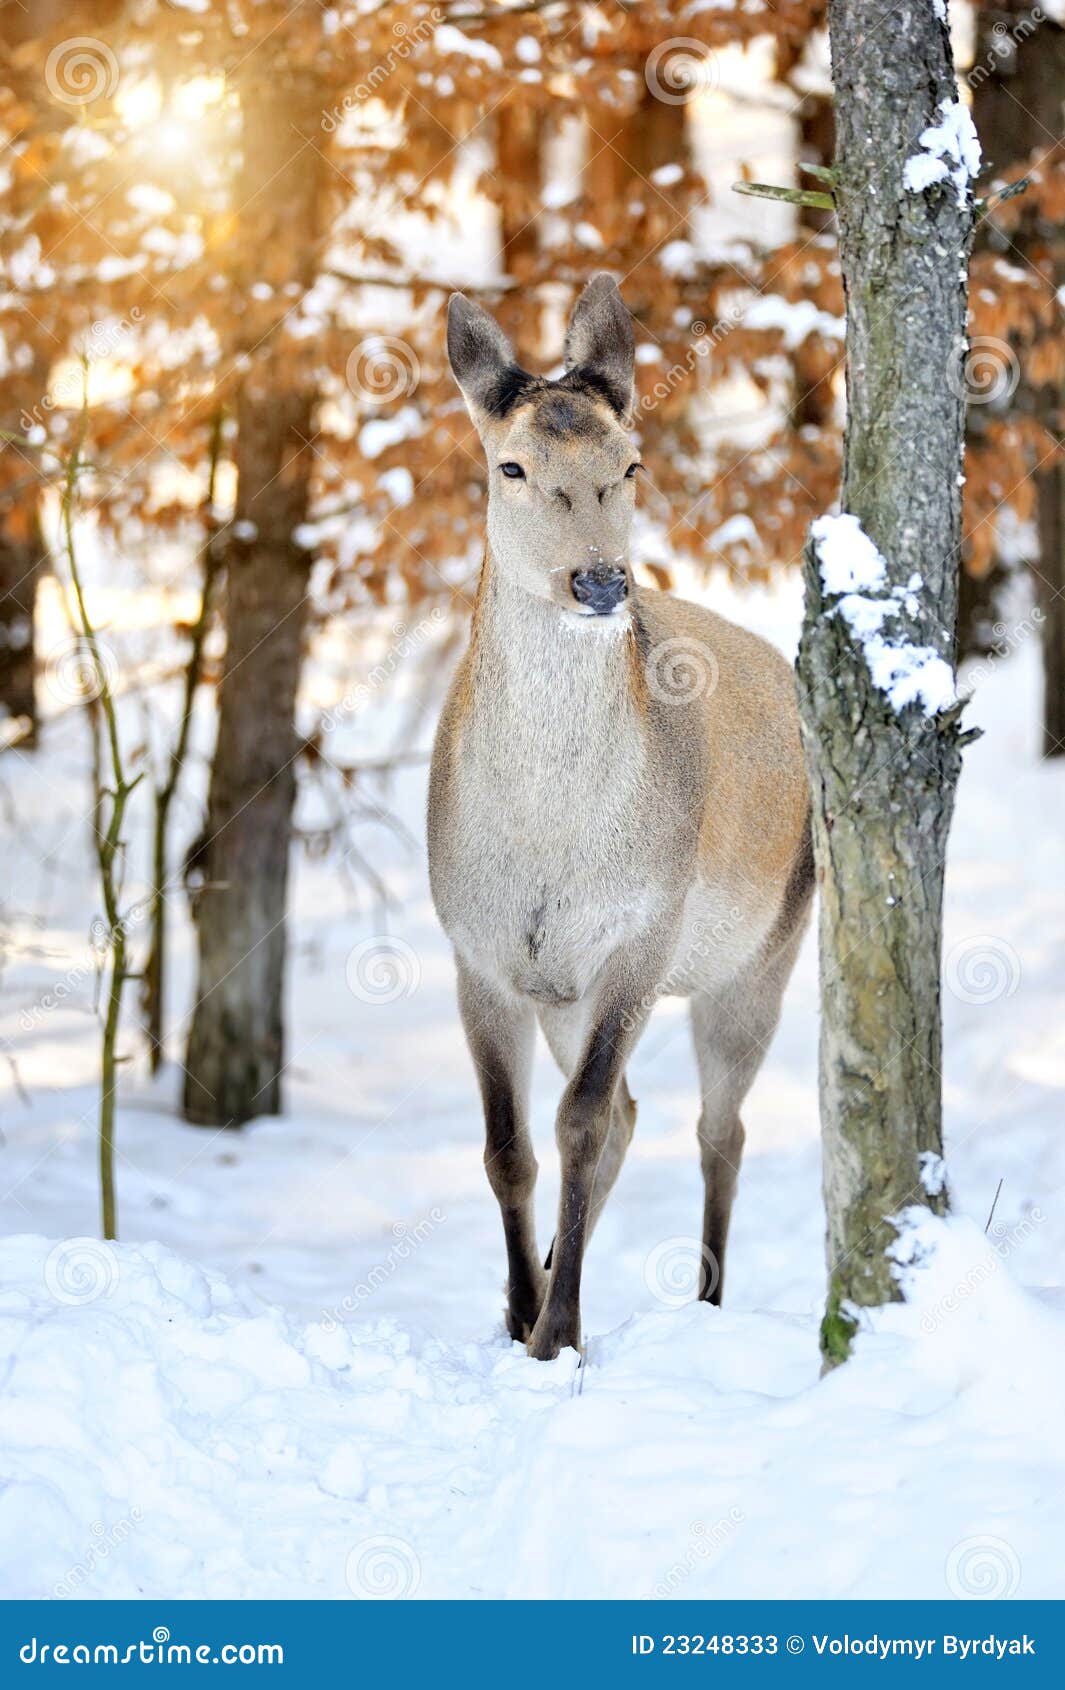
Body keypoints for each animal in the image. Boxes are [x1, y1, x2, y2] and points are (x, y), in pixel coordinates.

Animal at [428, 275, 813, 1362]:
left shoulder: (643, 936)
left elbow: (581, 1125)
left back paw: (709, 1301)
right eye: (511, 465)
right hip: (566, 991)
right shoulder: (478, 950)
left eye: (629, 463)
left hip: (767, 946)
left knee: (716, 1129)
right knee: (638, 1115)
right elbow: (510, 1145)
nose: (599, 580)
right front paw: (520, 1310)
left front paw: (559, 1330)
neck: (547, 840)